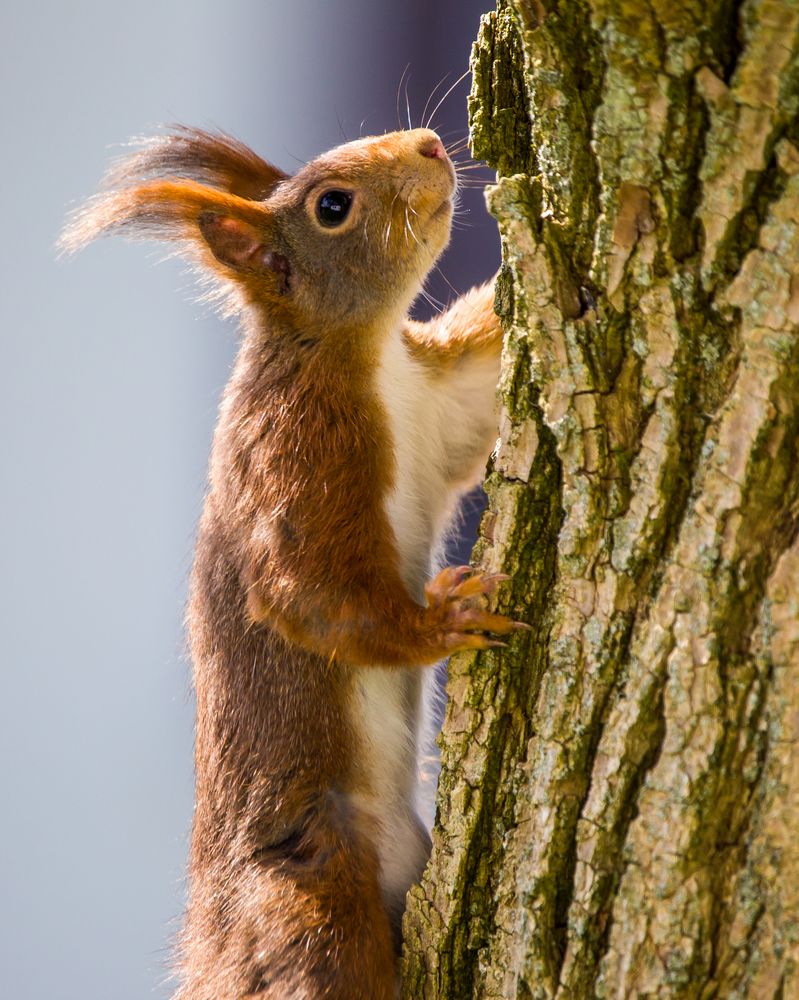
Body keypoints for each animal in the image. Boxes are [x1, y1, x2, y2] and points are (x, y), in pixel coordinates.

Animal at [61, 124, 526, 999]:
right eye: (331, 207)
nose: (427, 143)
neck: (364, 357)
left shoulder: (437, 400)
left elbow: (476, 391)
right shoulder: (291, 452)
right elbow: (307, 589)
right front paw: (444, 620)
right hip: (311, 900)